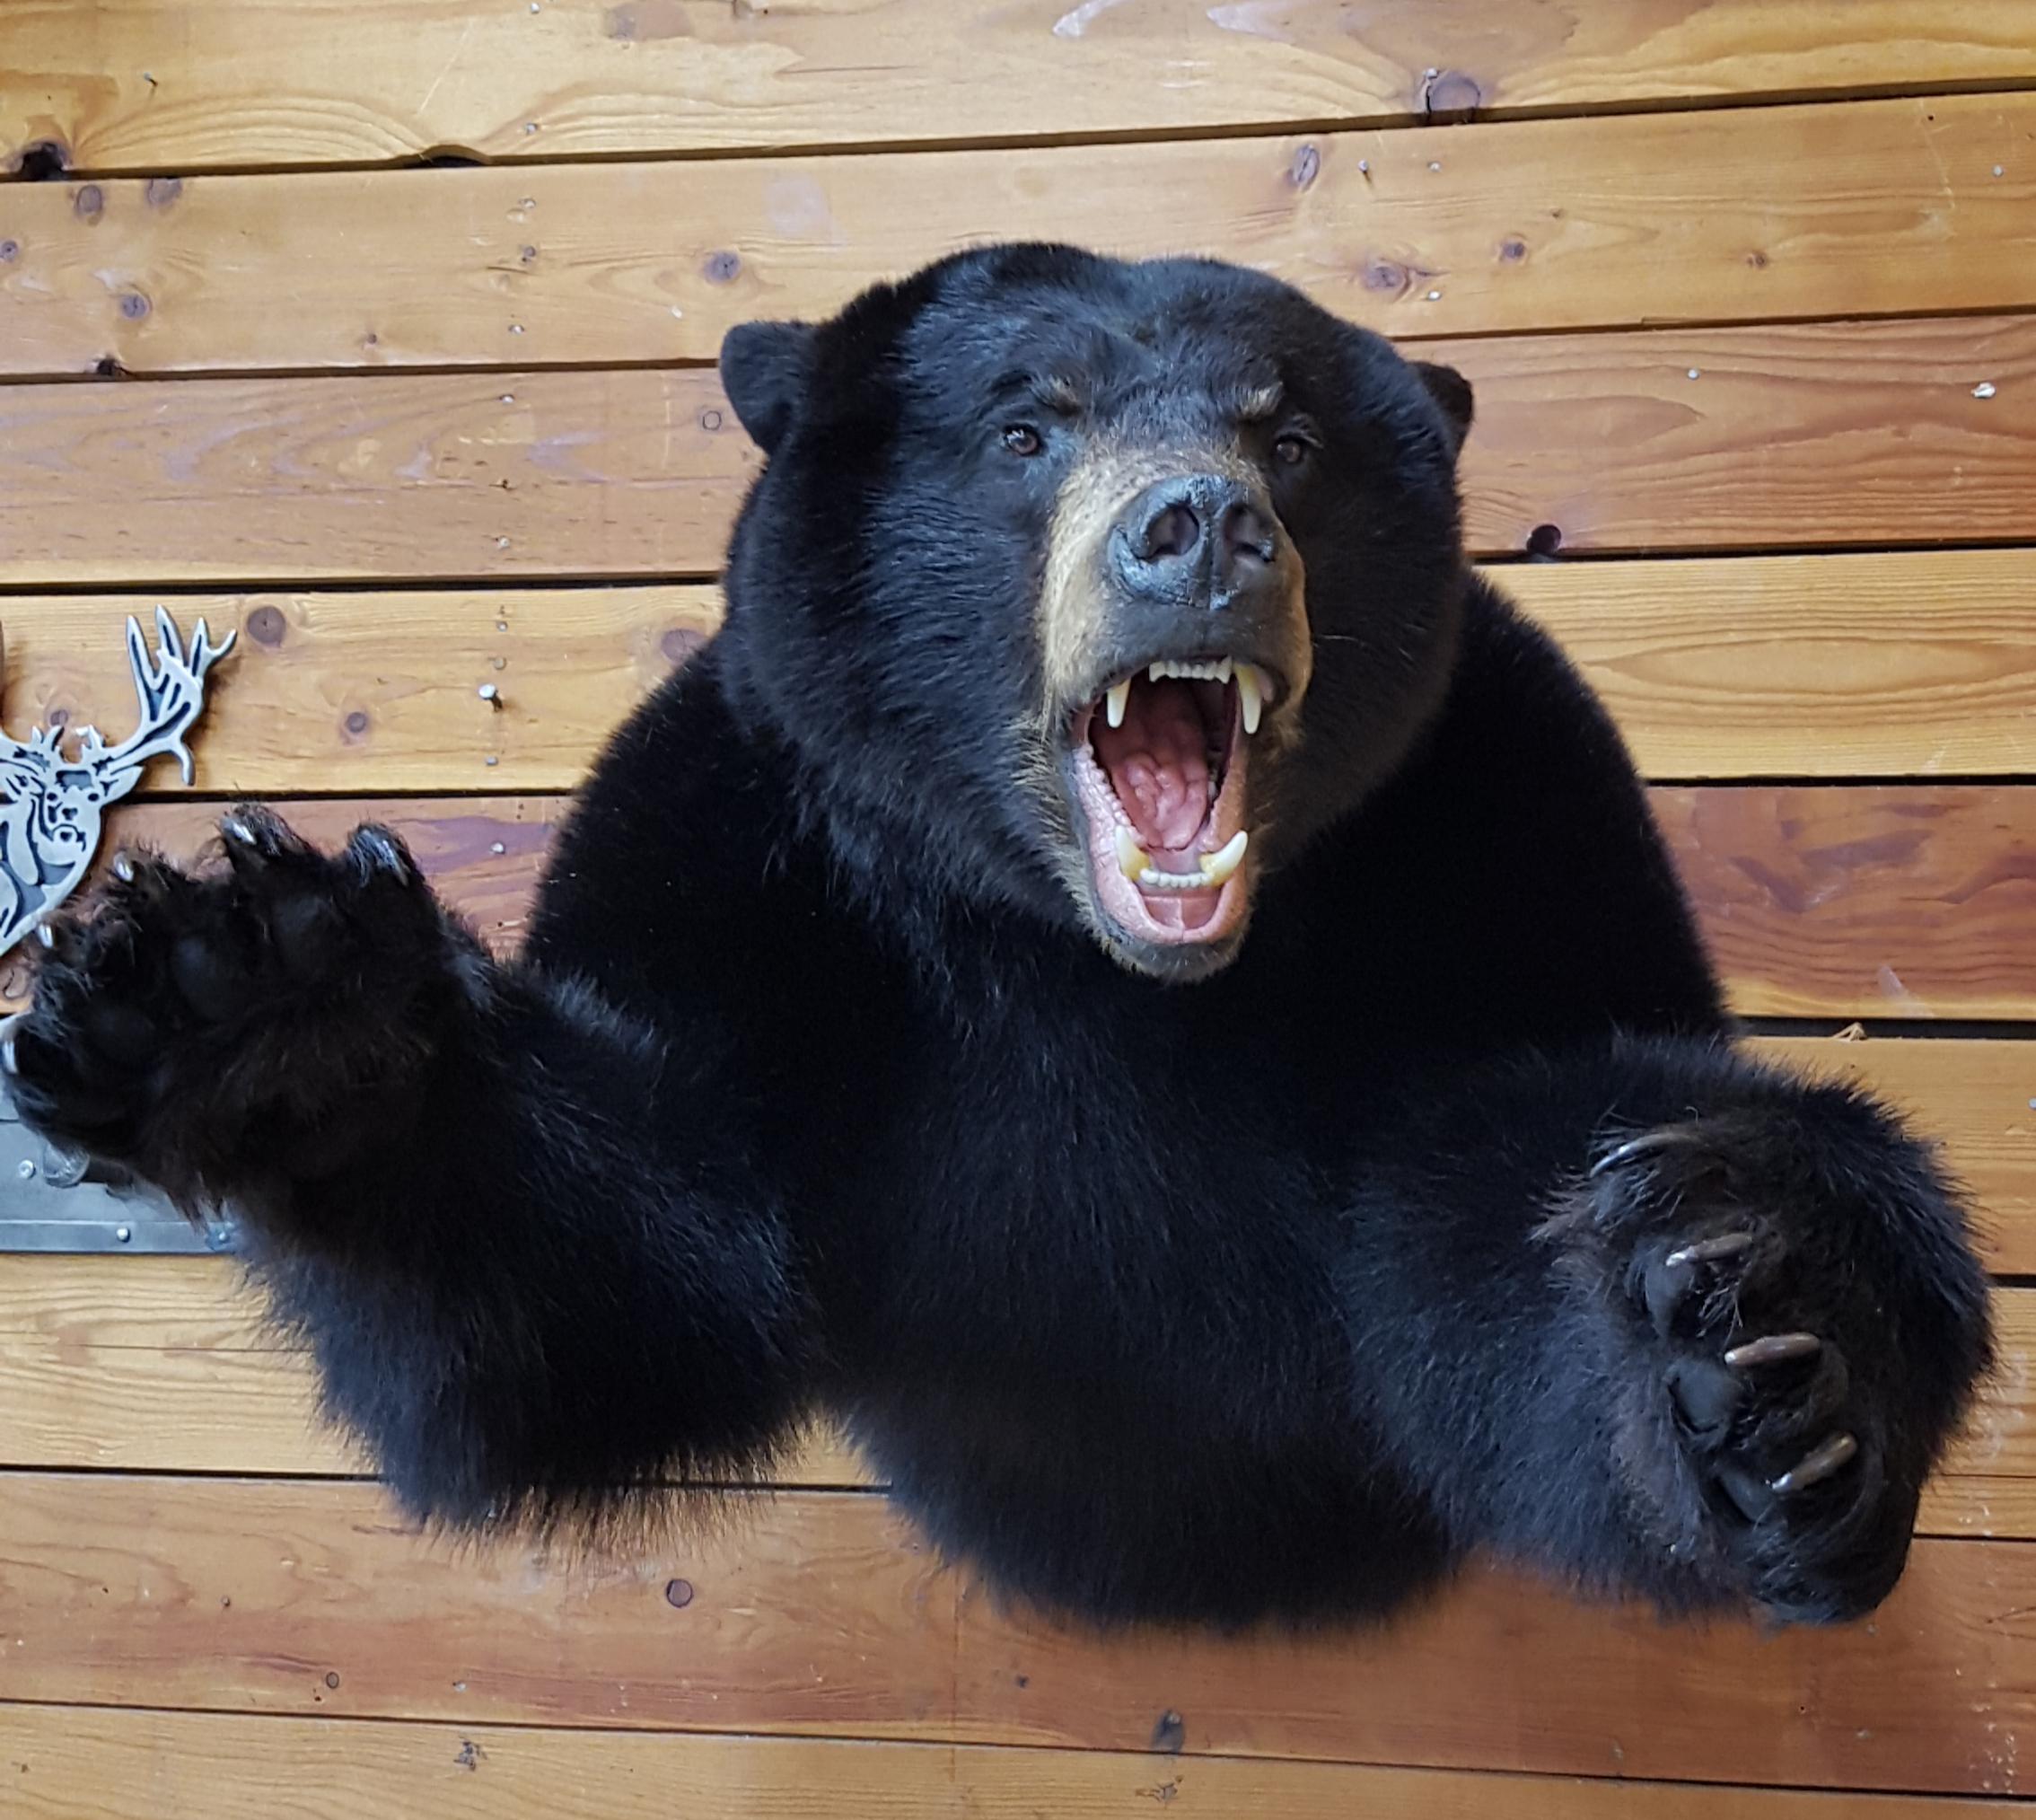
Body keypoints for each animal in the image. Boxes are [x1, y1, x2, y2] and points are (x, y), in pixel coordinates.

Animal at [4, 244, 1991, 1632]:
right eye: (1030, 427)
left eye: (1287, 434)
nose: (1201, 530)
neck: (1104, 972)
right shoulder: (741, 864)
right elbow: (634, 1272)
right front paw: (256, 1005)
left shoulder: (1500, 842)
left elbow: (1493, 1226)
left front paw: (1773, 1343)